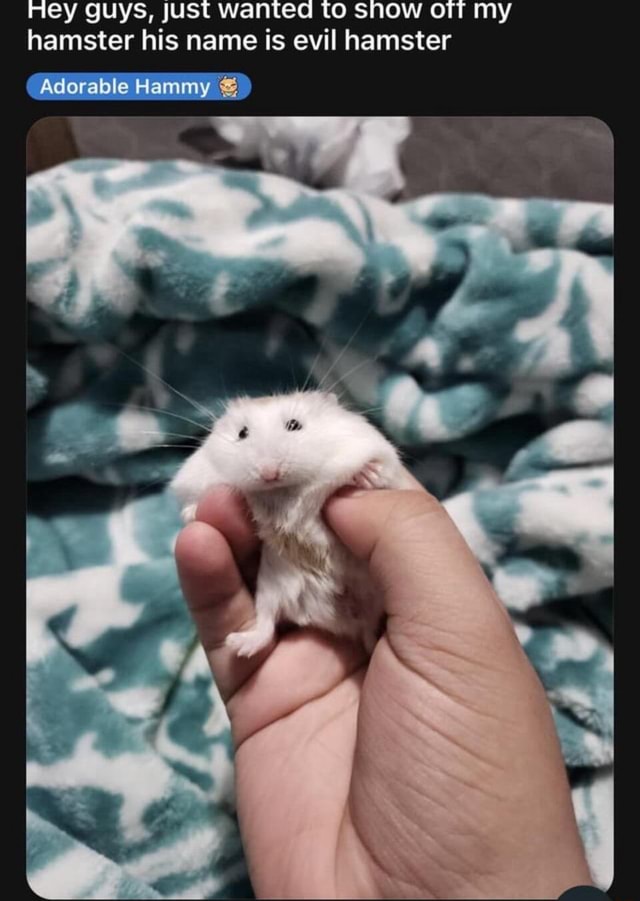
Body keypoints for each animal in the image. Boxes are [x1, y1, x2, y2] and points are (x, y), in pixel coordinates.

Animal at [171, 391, 412, 657]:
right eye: (242, 433)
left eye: (294, 425)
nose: (269, 473)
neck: (281, 491)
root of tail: (342, 621)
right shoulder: (195, 475)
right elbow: (194, 499)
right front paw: (194, 513)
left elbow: (376, 471)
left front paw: (367, 473)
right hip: (271, 587)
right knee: (266, 624)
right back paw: (238, 645)